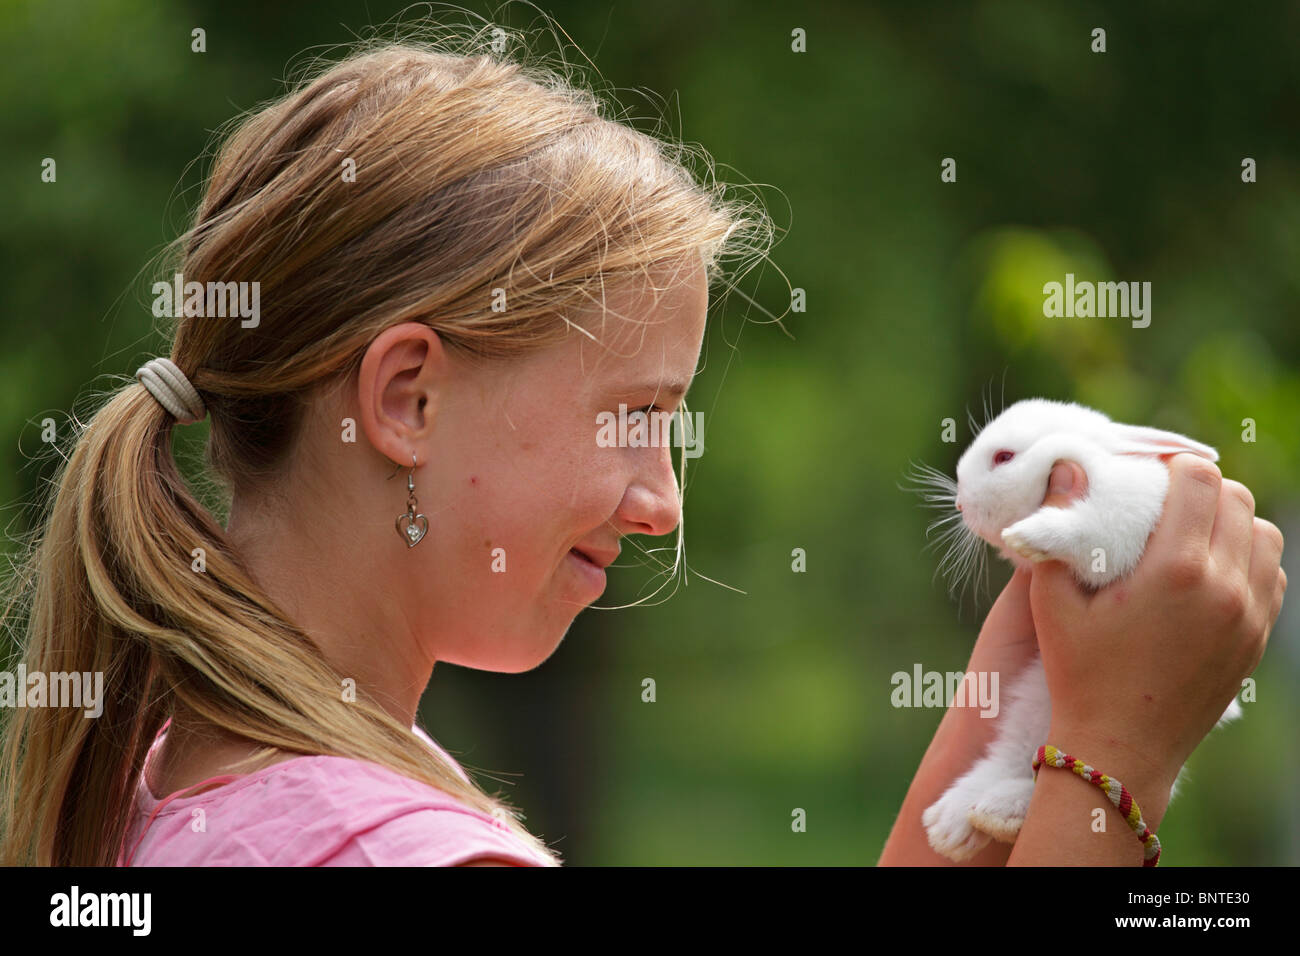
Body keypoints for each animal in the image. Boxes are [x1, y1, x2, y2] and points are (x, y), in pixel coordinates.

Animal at [912, 398, 1243, 862]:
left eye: (1003, 457)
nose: (960, 505)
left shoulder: (1118, 528)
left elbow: (1084, 532)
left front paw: (1028, 534)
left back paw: (988, 814)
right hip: (1029, 702)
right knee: (1014, 760)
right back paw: (953, 822)